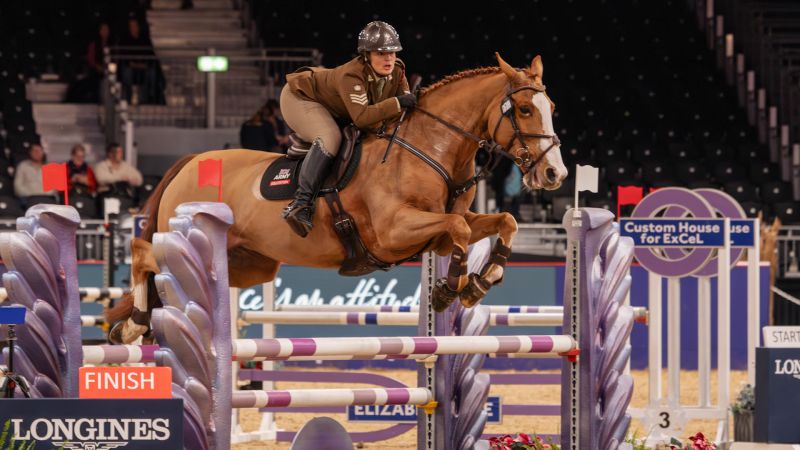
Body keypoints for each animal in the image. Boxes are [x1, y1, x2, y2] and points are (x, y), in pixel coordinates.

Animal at [106, 52, 568, 344]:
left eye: (552, 106)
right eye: (524, 110)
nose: (555, 173)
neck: (431, 148)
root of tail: (190, 161)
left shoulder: (438, 231)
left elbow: (502, 222)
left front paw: (479, 282)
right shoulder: (393, 232)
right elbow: (457, 229)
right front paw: (449, 287)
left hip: (249, 264)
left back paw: (134, 324)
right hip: (180, 235)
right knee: (143, 254)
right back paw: (134, 323)